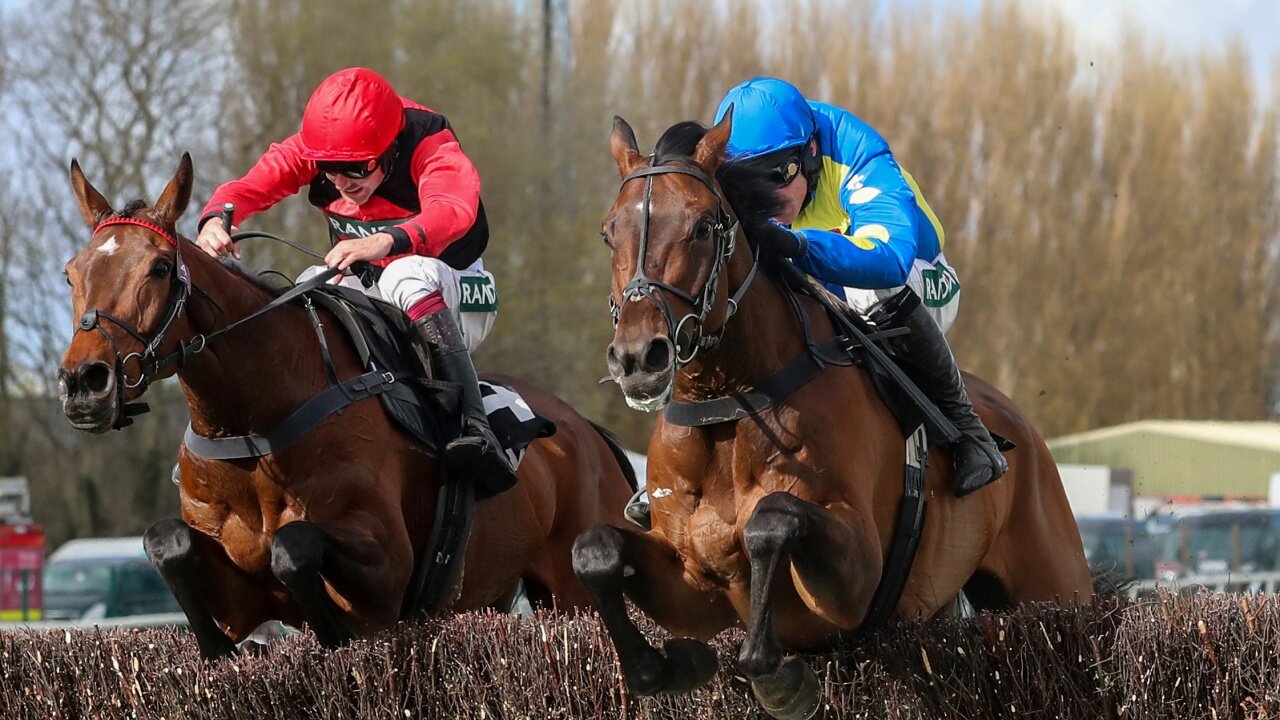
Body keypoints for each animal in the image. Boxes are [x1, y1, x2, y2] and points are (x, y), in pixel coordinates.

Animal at [58, 154, 635, 659]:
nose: (84, 382)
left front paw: (333, 636)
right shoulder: (240, 595)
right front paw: (219, 649)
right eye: (71, 272)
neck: (254, 427)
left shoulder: (387, 571)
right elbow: (167, 542)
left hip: (574, 588)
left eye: (159, 267)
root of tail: (590, 433)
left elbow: (294, 547)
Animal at [571, 114, 1093, 719]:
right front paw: (665, 666)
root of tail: (1019, 426)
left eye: (703, 226)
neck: (729, 402)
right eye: (609, 232)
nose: (638, 357)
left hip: (1056, 585)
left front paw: (778, 678)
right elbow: (596, 551)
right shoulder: (690, 581)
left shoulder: (858, 576)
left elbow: (773, 519)